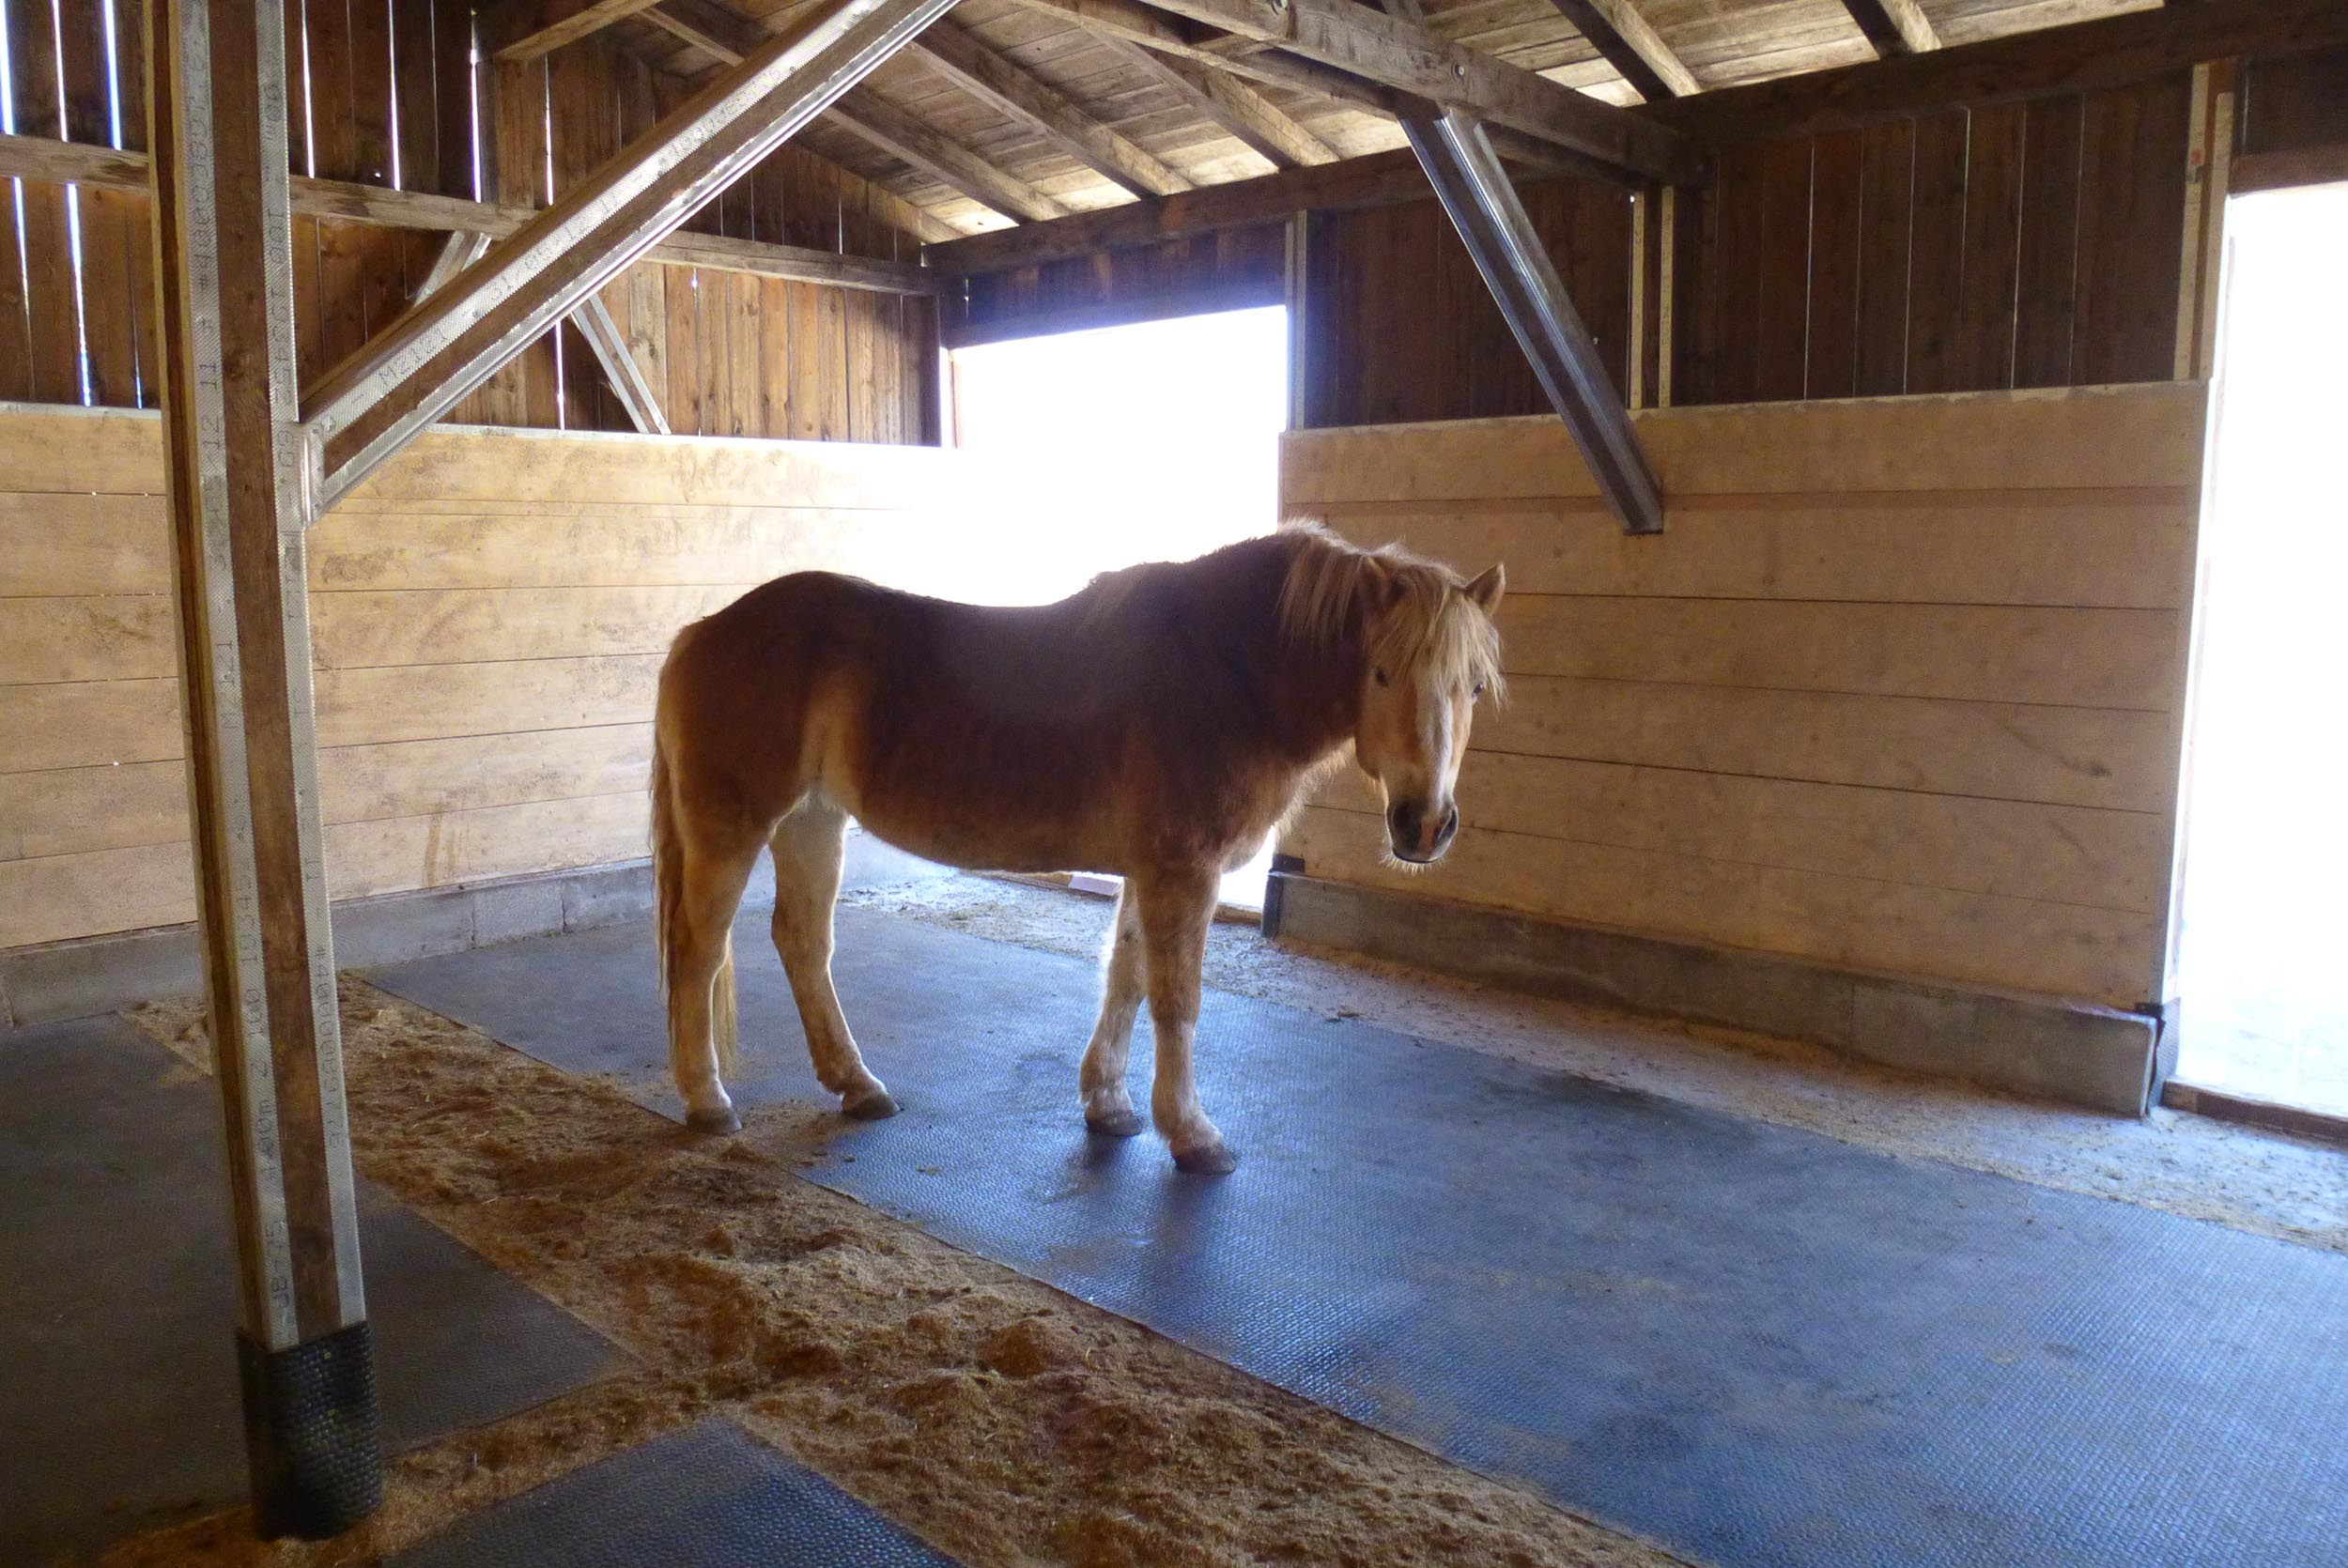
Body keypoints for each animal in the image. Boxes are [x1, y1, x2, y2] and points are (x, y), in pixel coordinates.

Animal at [648, 524, 1504, 1174]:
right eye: (1382, 673)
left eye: (1473, 687)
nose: (1423, 825)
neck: (1227, 672)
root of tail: (700, 633)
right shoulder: (1183, 872)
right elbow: (1177, 999)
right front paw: (1193, 1136)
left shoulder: (1149, 871)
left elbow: (1126, 978)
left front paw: (1111, 1106)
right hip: (735, 824)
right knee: (699, 947)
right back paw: (708, 1101)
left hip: (813, 822)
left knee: (801, 943)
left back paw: (858, 1087)